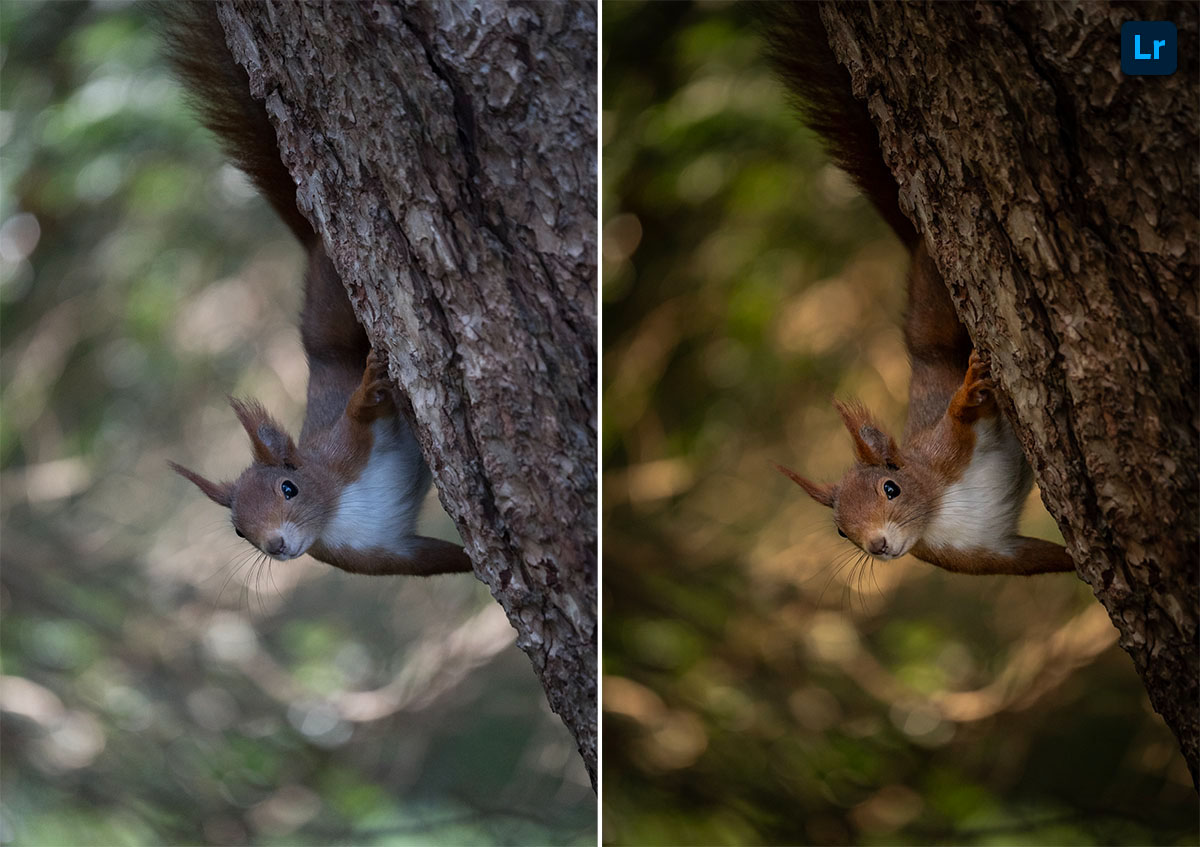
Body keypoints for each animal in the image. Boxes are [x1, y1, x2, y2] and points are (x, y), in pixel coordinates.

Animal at [160, 4, 471, 577]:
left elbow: (358, 416)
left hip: (335, 312)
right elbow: (438, 561)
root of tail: (311, 242)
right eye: (239, 531)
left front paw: (368, 388)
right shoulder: (384, 555)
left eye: (289, 486)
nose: (276, 545)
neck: (338, 513)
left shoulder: (342, 451)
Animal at [763, 5, 1073, 576]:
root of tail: (916, 243)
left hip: (937, 313)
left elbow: (959, 419)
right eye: (841, 531)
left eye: (891, 486)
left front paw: (968, 391)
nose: (877, 546)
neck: (939, 513)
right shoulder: (988, 555)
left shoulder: (944, 452)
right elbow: (1041, 561)